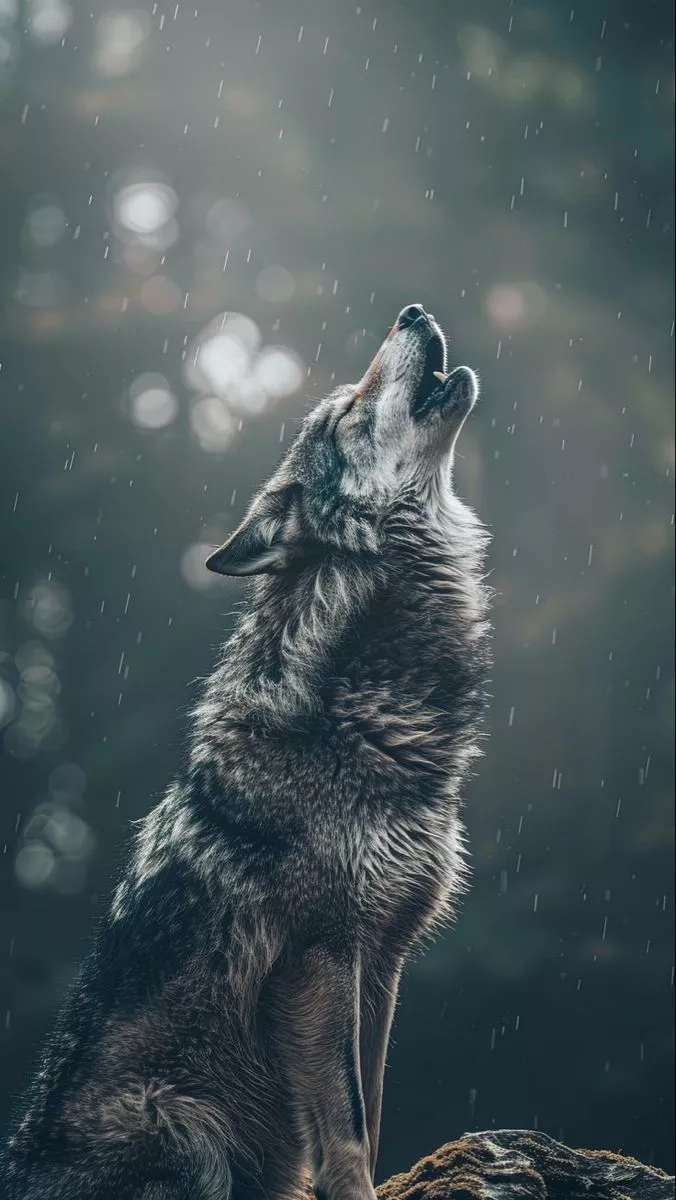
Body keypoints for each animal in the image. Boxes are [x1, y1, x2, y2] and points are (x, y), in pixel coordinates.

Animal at [3, 303, 491, 1200]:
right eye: (347, 411)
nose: (412, 311)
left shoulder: (385, 957)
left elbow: (371, 1106)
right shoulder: (322, 955)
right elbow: (346, 1126)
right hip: (183, 1123)